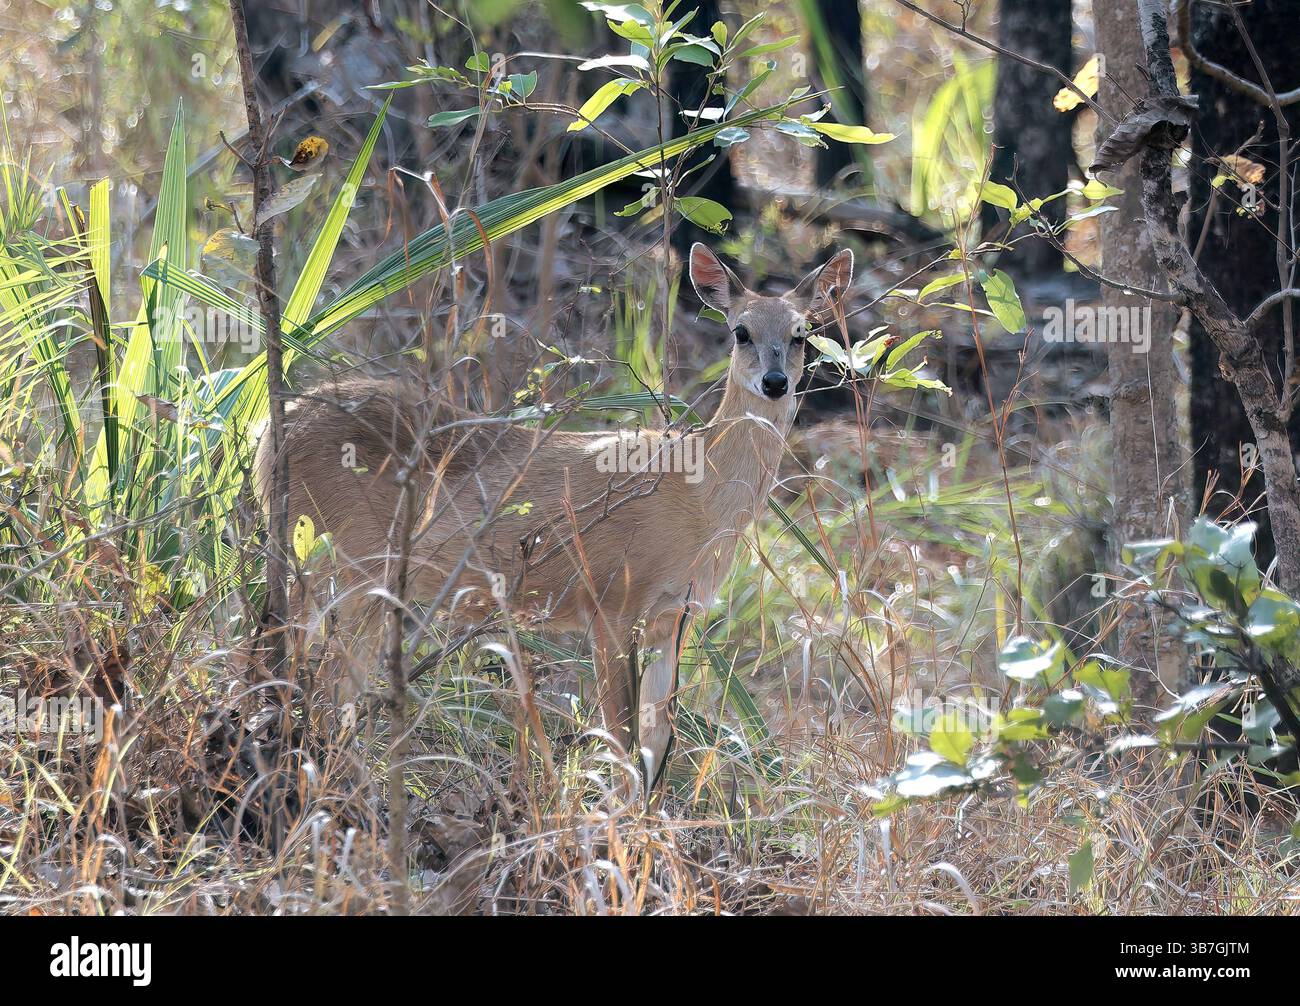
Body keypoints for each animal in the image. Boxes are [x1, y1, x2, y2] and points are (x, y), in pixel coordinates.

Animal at [255, 243, 853, 789]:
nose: (774, 382)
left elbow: (660, 739)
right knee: (306, 672)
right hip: (336, 558)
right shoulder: (612, 601)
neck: (699, 498)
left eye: (801, 333)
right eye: (740, 331)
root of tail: (272, 428)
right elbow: (621, 739)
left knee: (331, 683)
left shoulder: (673, 616)